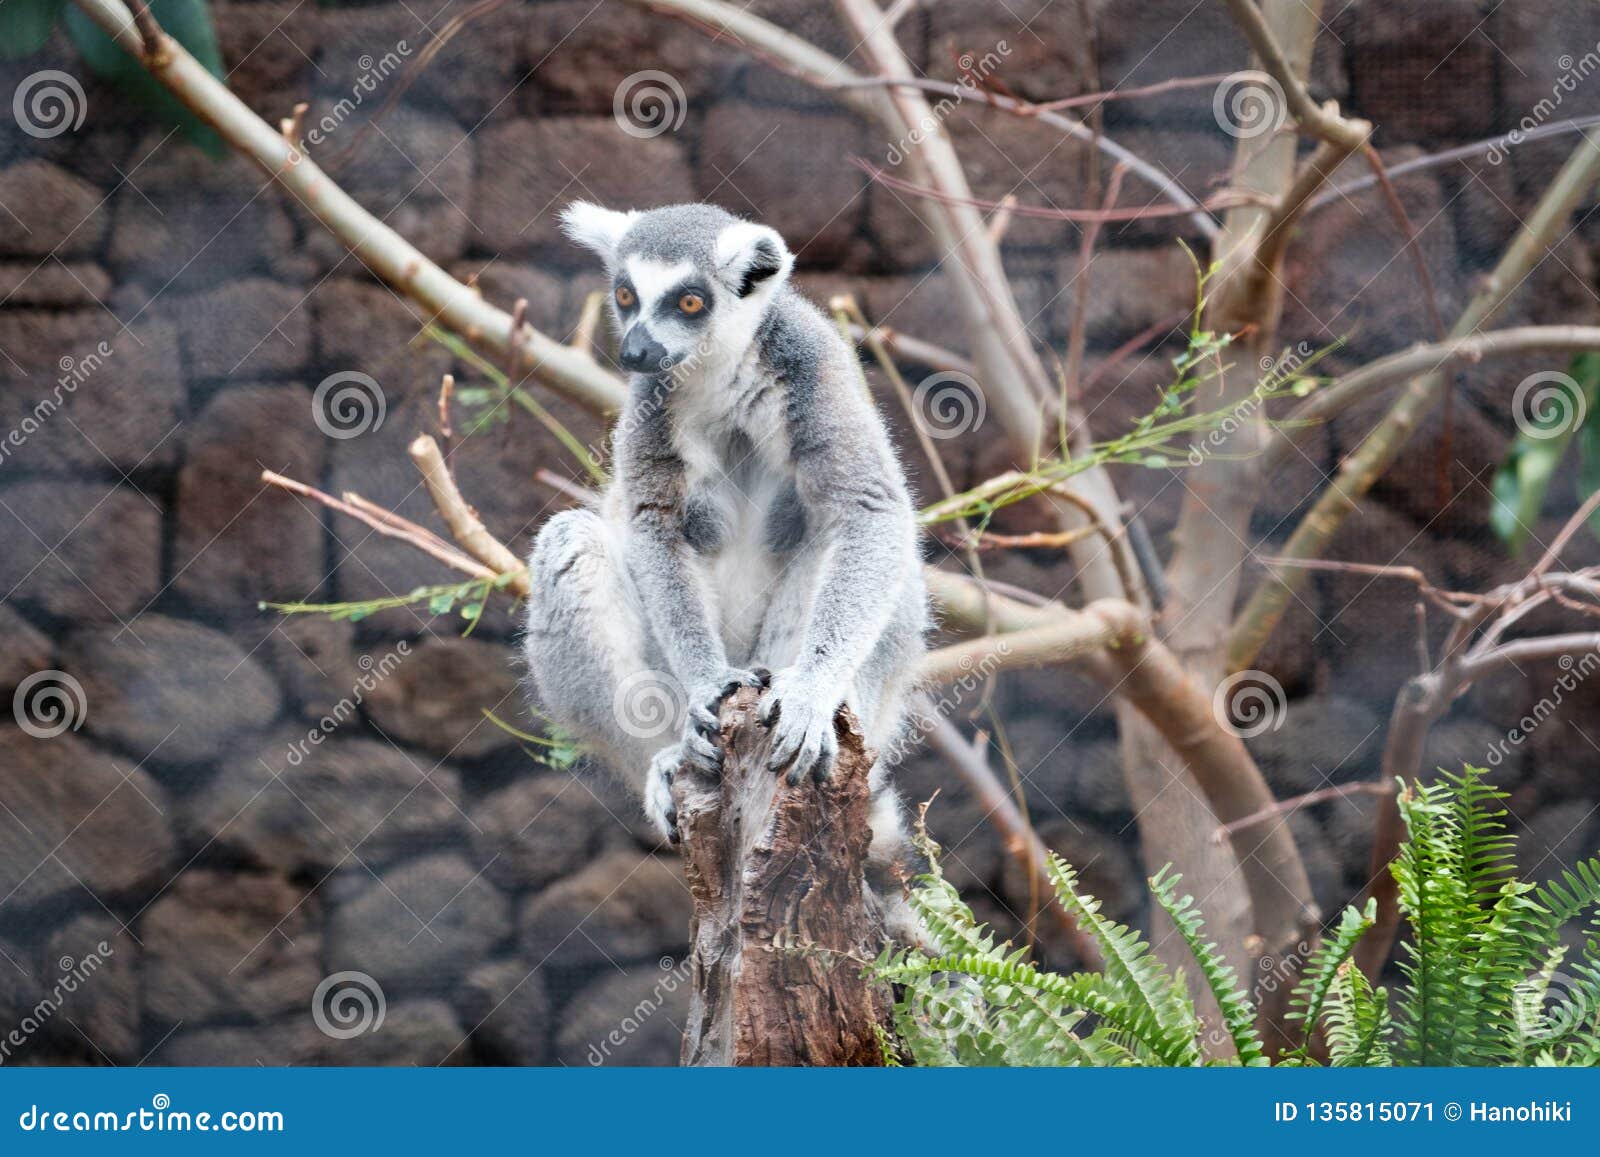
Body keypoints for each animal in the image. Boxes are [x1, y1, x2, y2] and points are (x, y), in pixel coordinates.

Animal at [521, 201, 928, 905]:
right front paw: (709, 682)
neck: (717, 372)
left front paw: (811, 693)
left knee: (875, 562)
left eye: (689, 301)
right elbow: (653, 527)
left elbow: (868, 509)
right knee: (570, 545)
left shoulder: (812, 368)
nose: (635, 351)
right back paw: (668, 759)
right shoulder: (648, 407)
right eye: (625, 295)